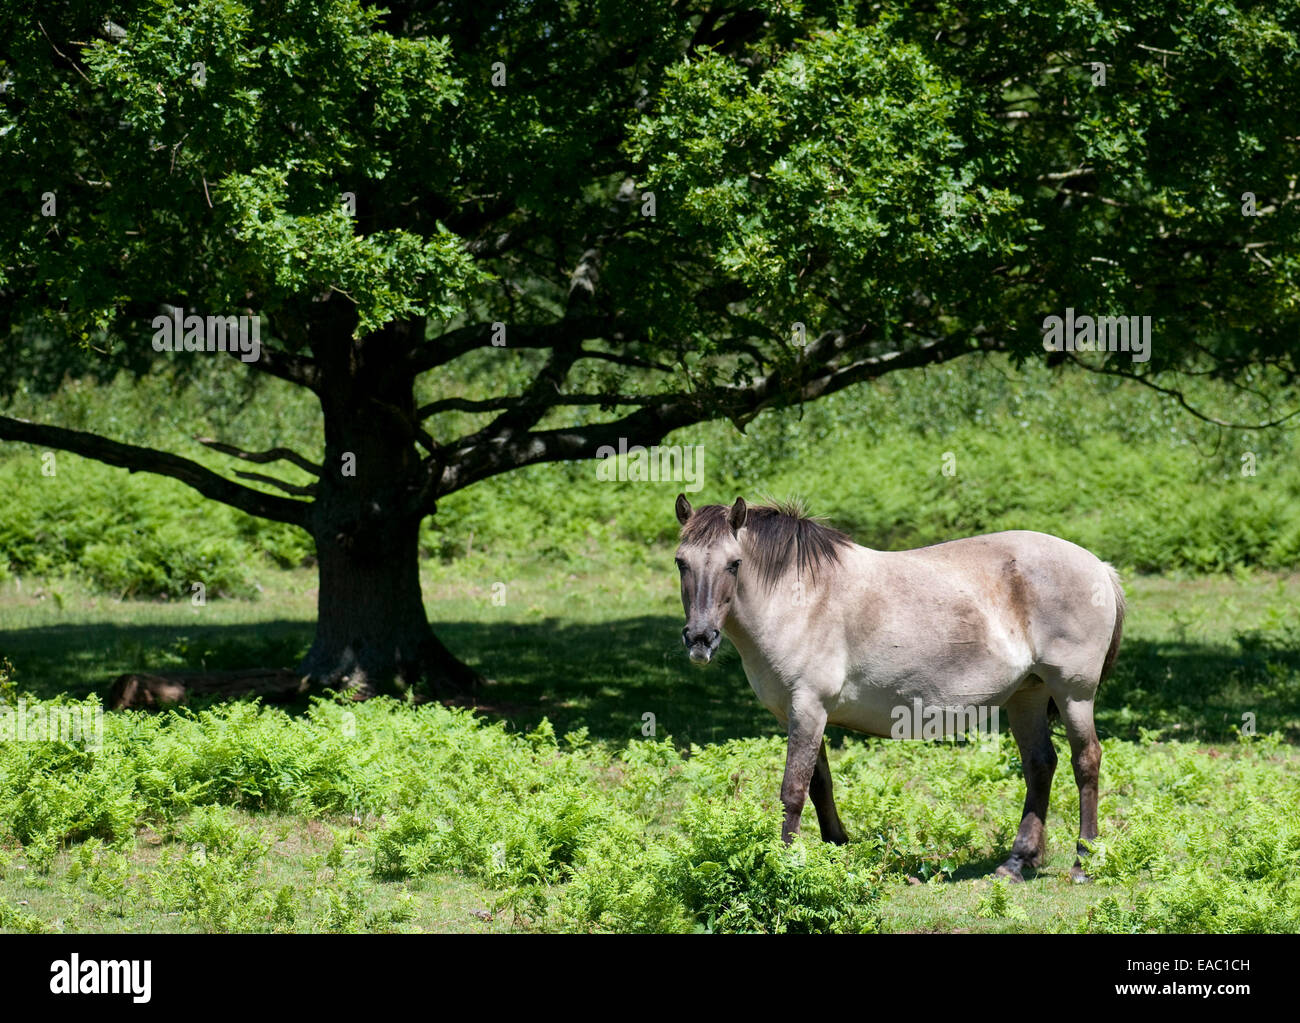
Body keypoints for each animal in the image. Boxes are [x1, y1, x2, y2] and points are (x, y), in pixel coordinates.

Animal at [672, 495, 1124, 883]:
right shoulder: (800, 713)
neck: (801, 598)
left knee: (1085, 762)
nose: (700, 639)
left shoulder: (808, 707)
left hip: (1074, 693)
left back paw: (1083, 862)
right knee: (1039, 765)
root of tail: (1099, 567)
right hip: (1027, 696)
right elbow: (820, 785)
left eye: (734, 564)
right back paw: (1016, 863)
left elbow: (794, 791)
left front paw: (785, 864)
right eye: (681, 563)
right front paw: (837, 847)